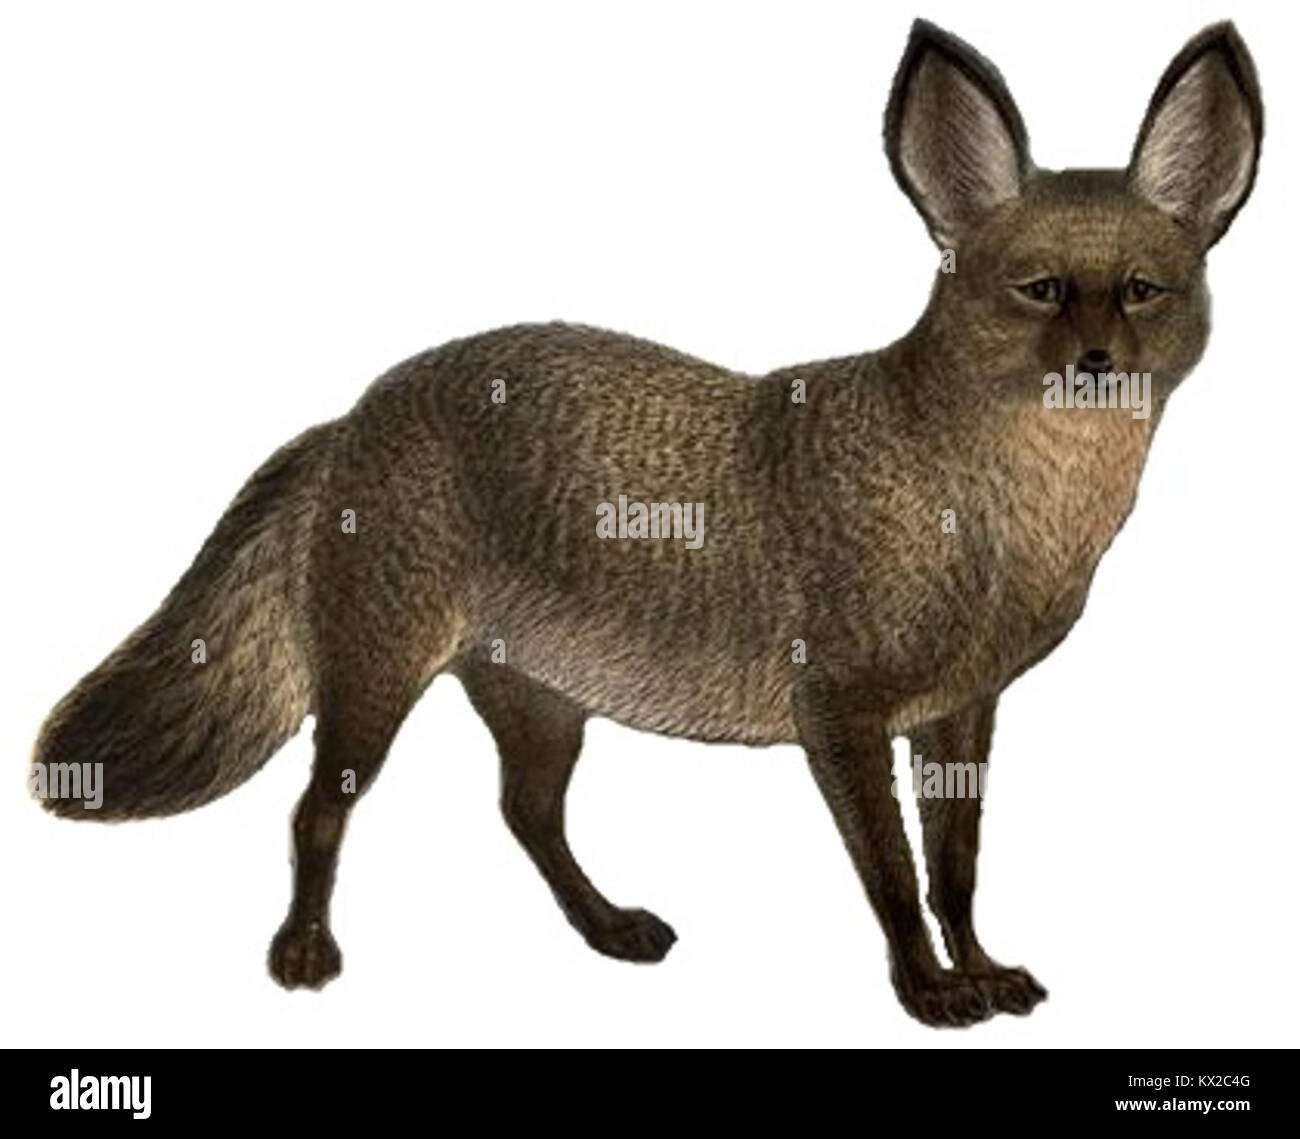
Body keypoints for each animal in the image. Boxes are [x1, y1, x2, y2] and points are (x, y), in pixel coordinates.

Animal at [32, 19, 1262, 1027]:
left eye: (1142, 289)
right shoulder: (841, 712)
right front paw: (927, 991)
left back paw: (608, 926)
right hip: (375, 676)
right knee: (314, 810)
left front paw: (984, 969)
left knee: (523, 813)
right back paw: (302, 954)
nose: (1098, 363)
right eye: (1041, 288)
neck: (997, 513)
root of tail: (353, 411)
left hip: (540, 701)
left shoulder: (962, 713)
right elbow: (893, 877)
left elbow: (955, 872)